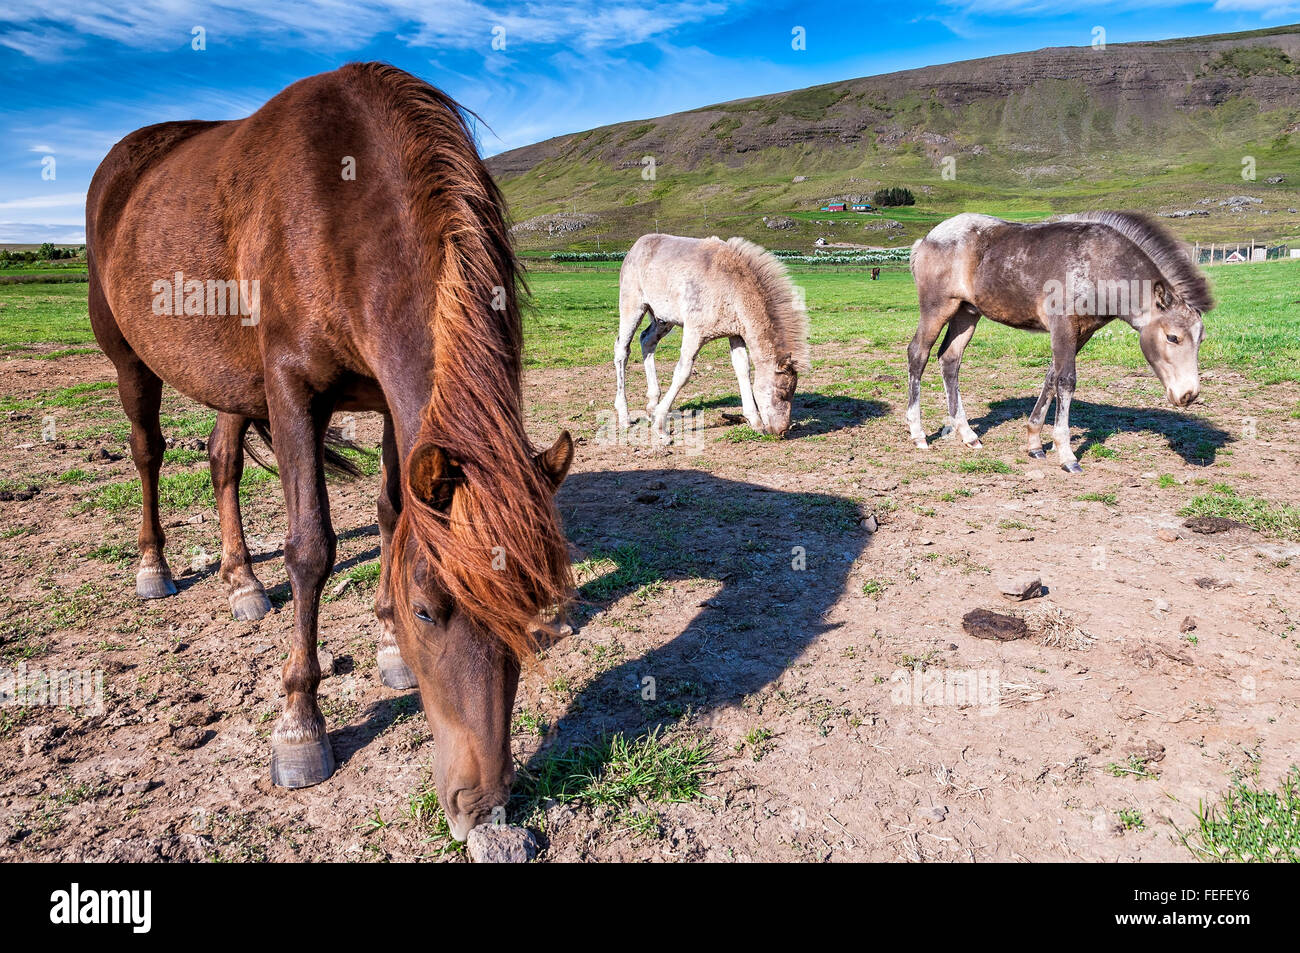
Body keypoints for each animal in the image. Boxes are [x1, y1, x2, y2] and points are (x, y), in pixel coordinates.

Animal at [86, 63, 574, 840]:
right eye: (429, 611)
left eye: (538, 608)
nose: (483, 804)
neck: (344, 201)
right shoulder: (291, 389)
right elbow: (312, 546)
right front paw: (300, 723)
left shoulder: (387, 404)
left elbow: (390, 514)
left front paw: (386, 647)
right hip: (132, 359)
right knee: (147, 452)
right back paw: (154, 567)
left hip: (232, 376)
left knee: (221, 461)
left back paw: (242, 582)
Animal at [614, 234, 809, 438]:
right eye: (782, 393)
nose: (781, 431)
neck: (731, 286)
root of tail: (636, 246)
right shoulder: (694, 332)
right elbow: (682, 373)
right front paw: (660, 425)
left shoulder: (735, 333)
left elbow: (743, 369)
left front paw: (755, 421)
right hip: (633, 307)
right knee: (622, 350)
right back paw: (625, 416)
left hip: (664, 319)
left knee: (647, 341)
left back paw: (652, 405)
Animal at [906, 211, 1213, 473]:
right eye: (1173, 337)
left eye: (1201, 340)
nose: (1188, 395)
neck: (1099, 265)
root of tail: (927, 239)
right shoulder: (1062, 326)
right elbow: (1066, 381)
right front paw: (1066, 454)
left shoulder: (1081, 333)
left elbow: (1051, 377)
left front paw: (1035, 443)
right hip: (937, 309)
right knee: (918, 354)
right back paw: (918, 434)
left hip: (967, 313)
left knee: (949, 360)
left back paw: (967, 434)